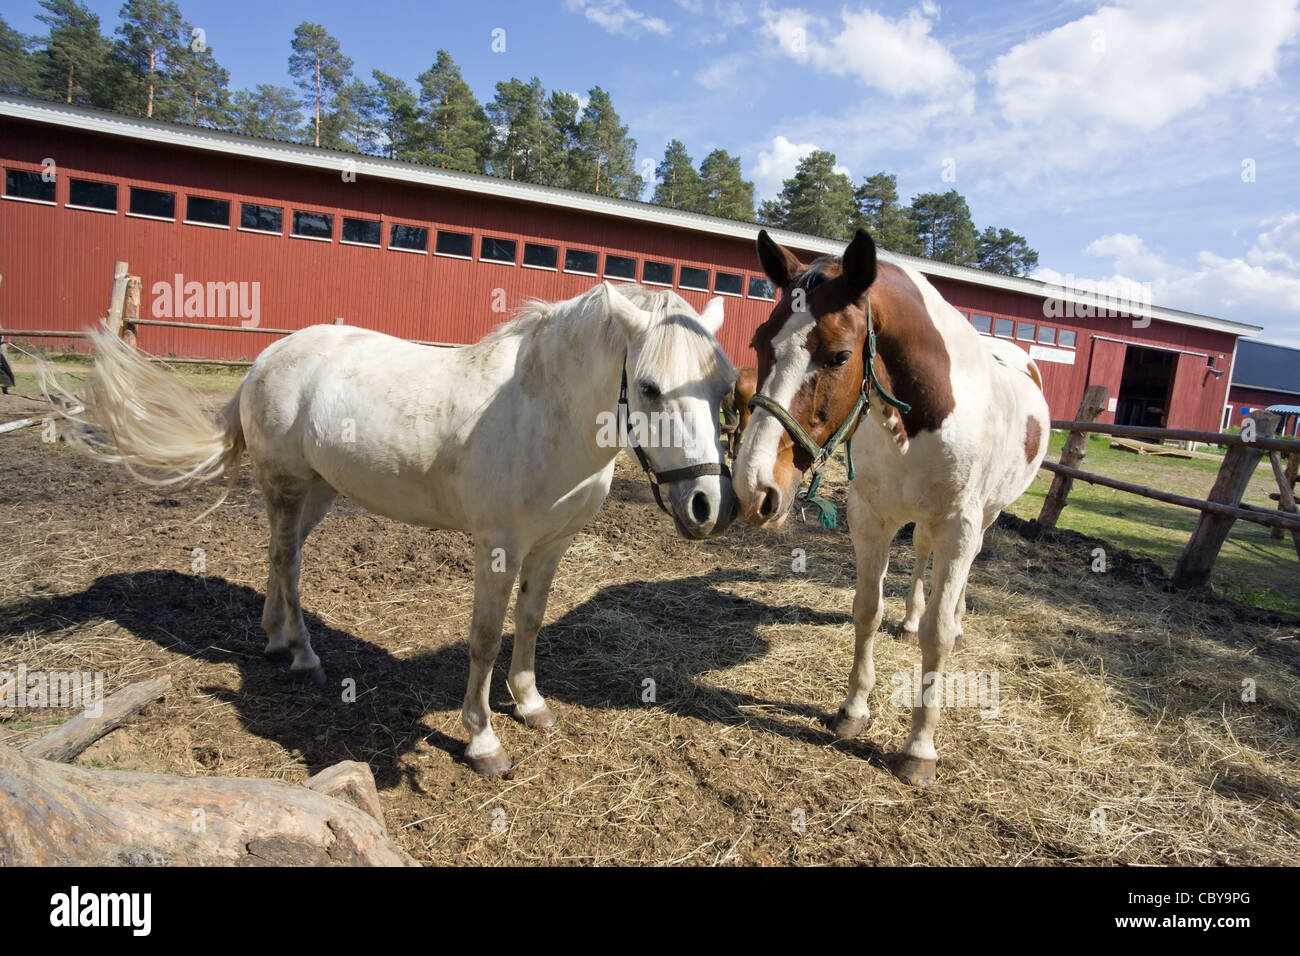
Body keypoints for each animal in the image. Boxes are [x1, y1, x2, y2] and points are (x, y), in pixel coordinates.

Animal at [55, 282, 739, 775]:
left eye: (726, 390)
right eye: (648, 387)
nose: (709, 505)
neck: (542, 411)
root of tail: (267, 358)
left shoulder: (551, 545)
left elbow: (530, 622)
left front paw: (531, 704)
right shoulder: (498, 547)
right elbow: (484, 638)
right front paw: (483, 741)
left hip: (318, 490)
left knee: (280, 556)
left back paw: (275, 640)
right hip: (286, 486)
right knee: (287, 562)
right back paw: (302, 654)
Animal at [732, 229, 1050, 786]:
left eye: (839, 356)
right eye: (758, 344)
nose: (755, 490)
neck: (926, 416)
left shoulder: (959, 525)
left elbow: (937, 637)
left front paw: (920, 747)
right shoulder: (871, 520)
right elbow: (867, 611)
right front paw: (853, 709)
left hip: (983, 518)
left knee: (963, 571)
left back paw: (957, 618)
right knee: (920, 556)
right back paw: (908, 619)